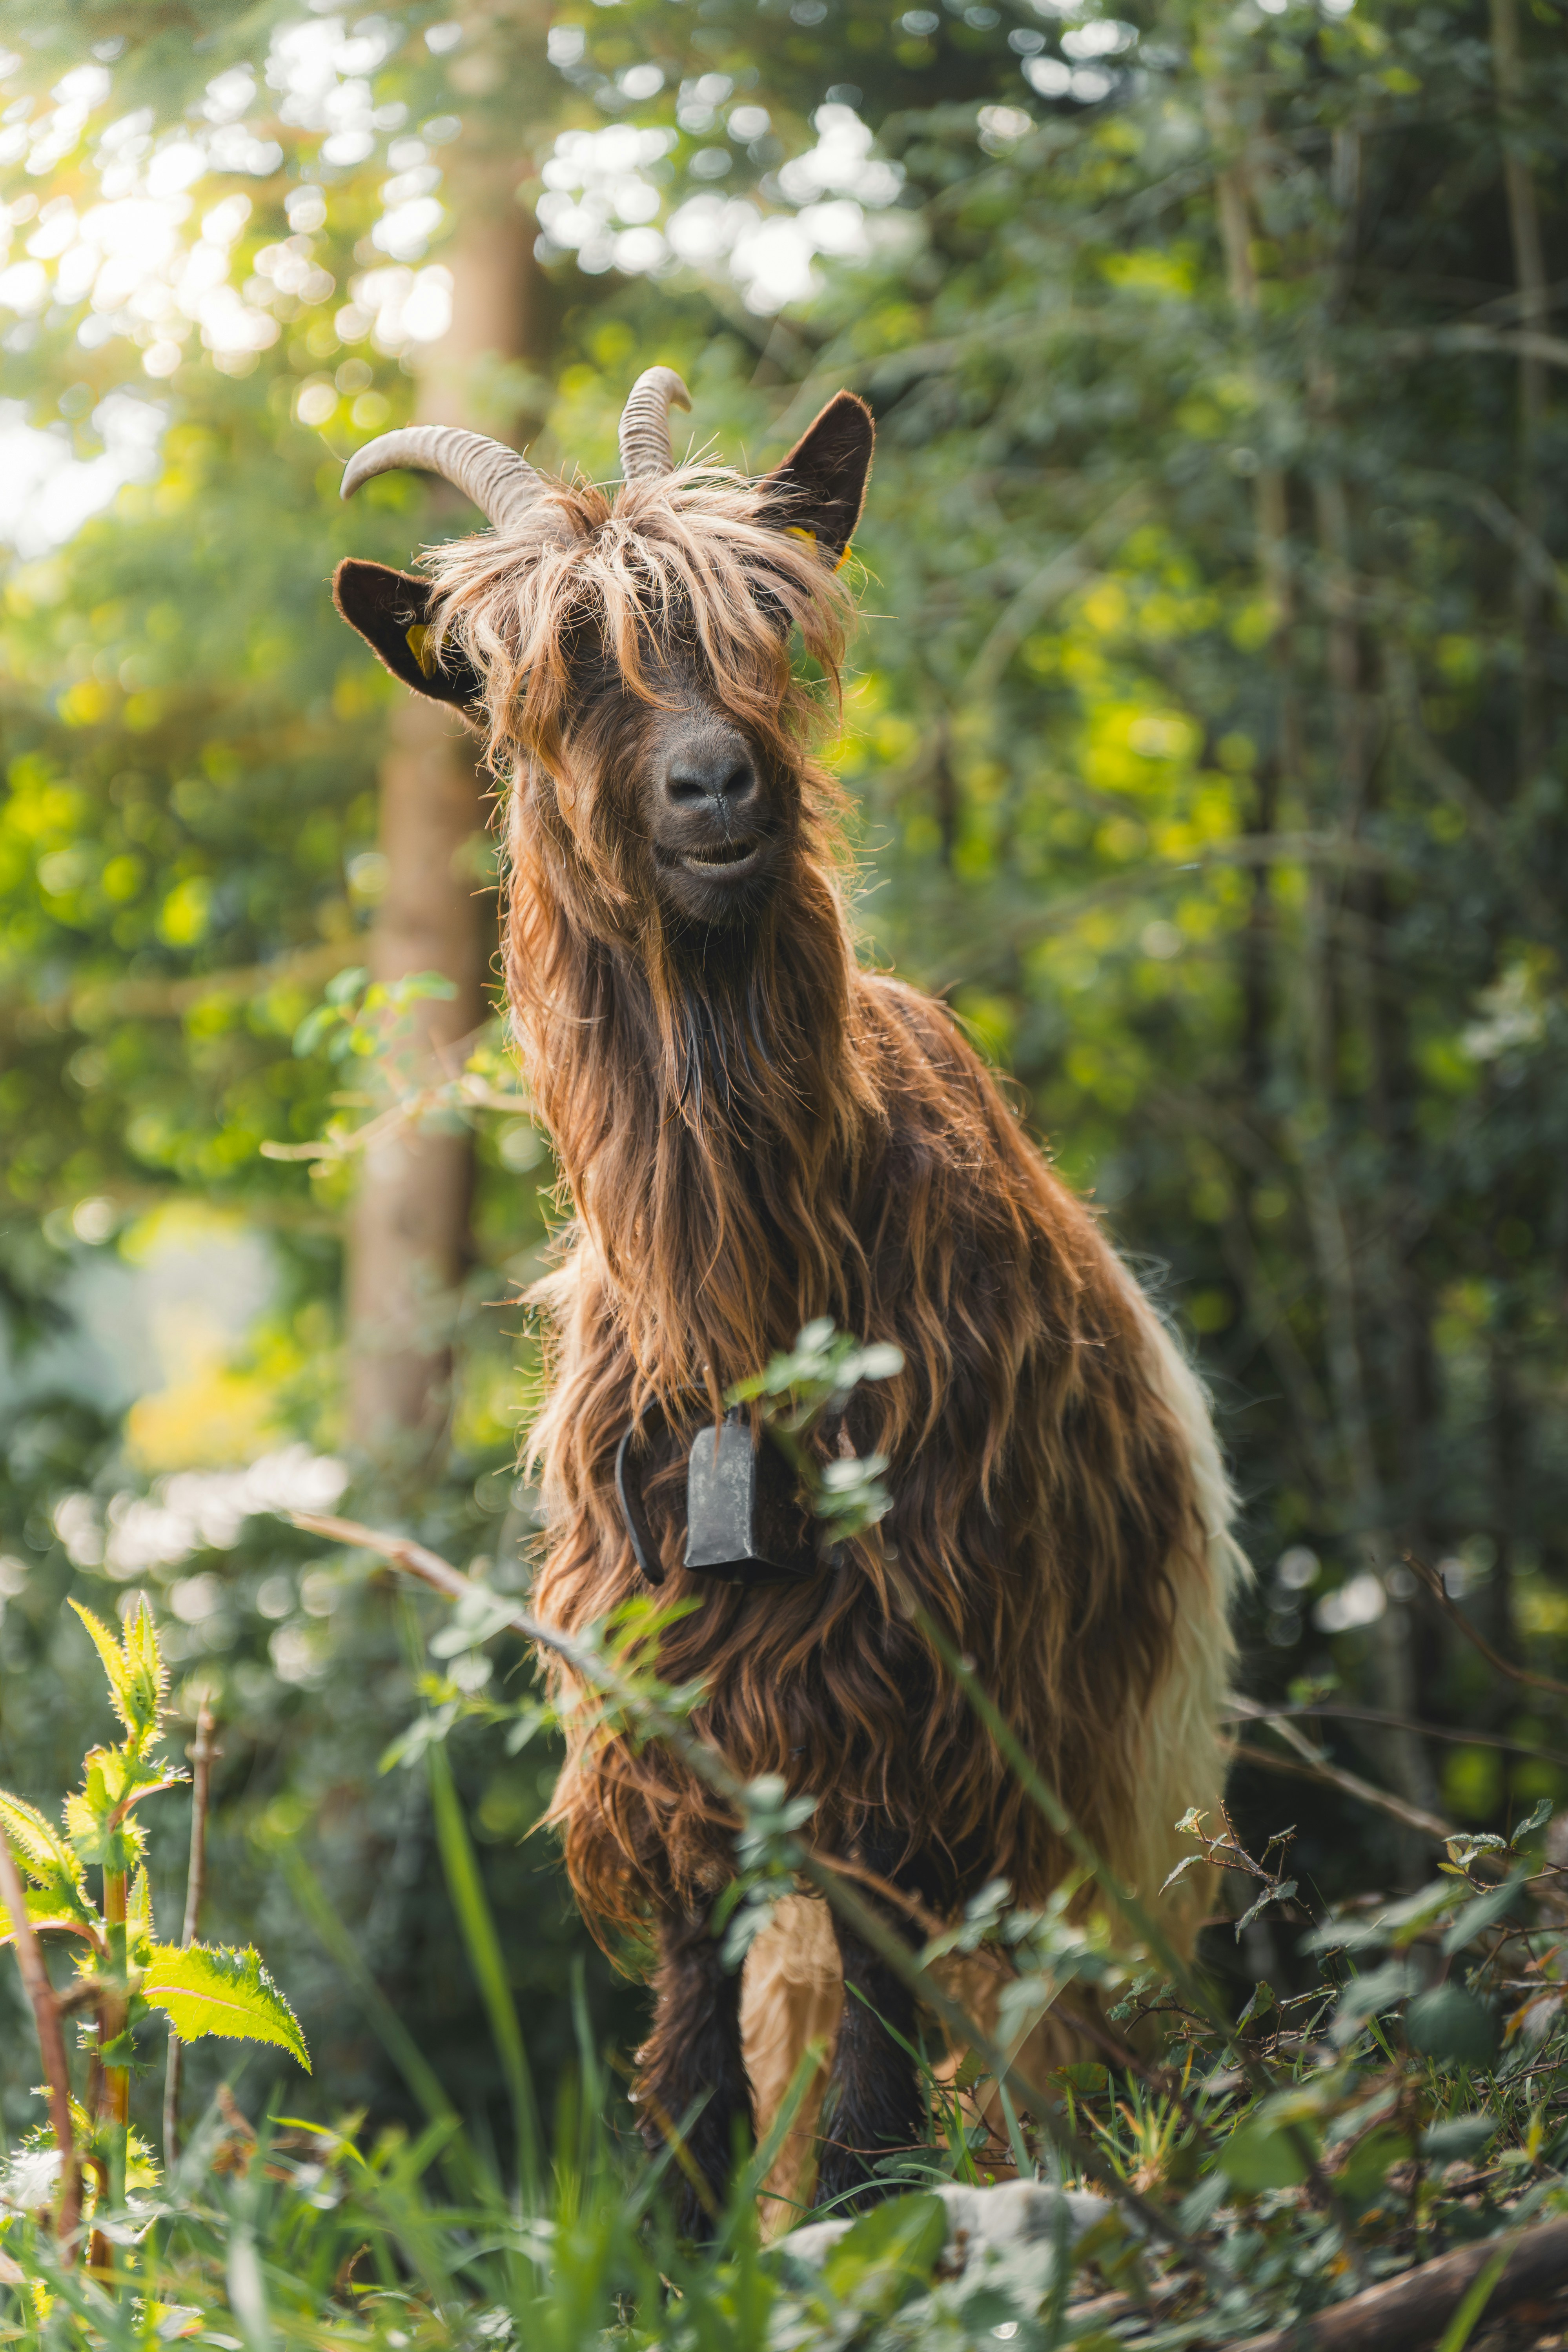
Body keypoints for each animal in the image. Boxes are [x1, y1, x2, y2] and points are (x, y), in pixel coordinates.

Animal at [333, 367, 1244, 2229]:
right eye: (550, 678)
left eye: (762, 633)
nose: (714, 787)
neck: (752, 1334)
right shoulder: (669, 1694)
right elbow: (695, 2011)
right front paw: (687, 2240)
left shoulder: (921, 1699)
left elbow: (884, 2010)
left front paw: (860, 2218)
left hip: (1117, 1819)